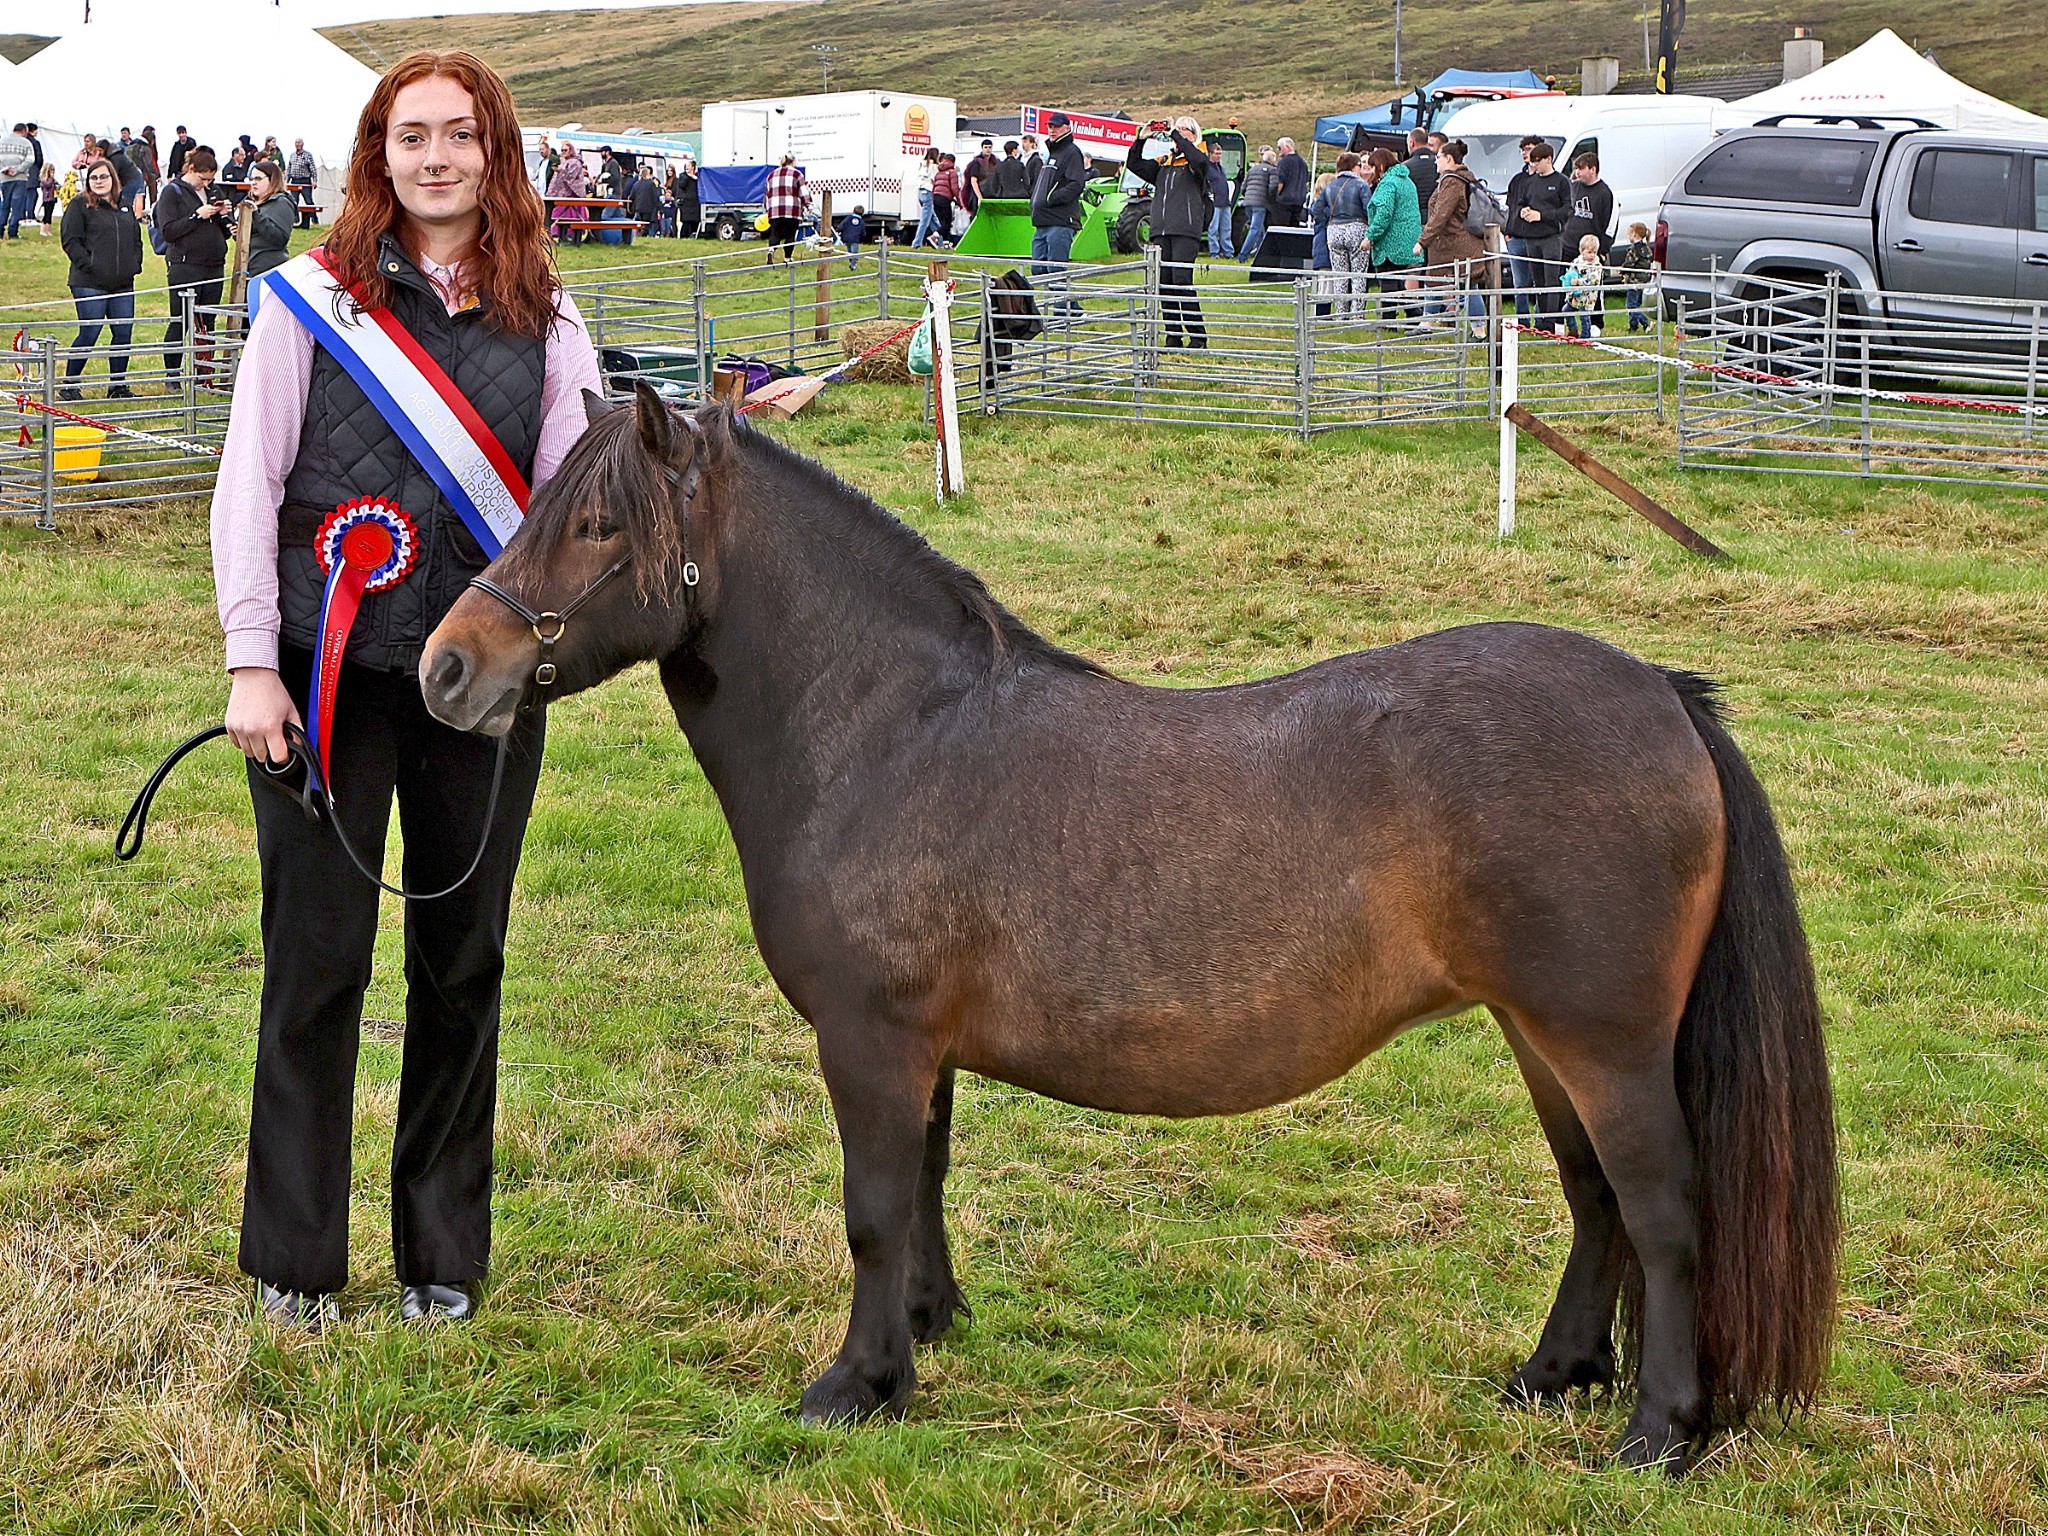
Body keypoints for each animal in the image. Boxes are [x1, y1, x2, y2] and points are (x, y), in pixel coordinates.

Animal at [419, 388, 1840, 1472]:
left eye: (597, 524)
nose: (446, 667)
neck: (890, 731)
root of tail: (1660, 694)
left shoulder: (869, 1041)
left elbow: (871, 1205)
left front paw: (855, 1383)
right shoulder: (916, 1051)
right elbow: (923, 1186)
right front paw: (925, 1332)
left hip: (1602, 1043)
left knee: (1660, 1211)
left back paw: (1657, 1432)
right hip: (1538, 1035)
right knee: (1593, 1199)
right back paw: (1553, 1373)